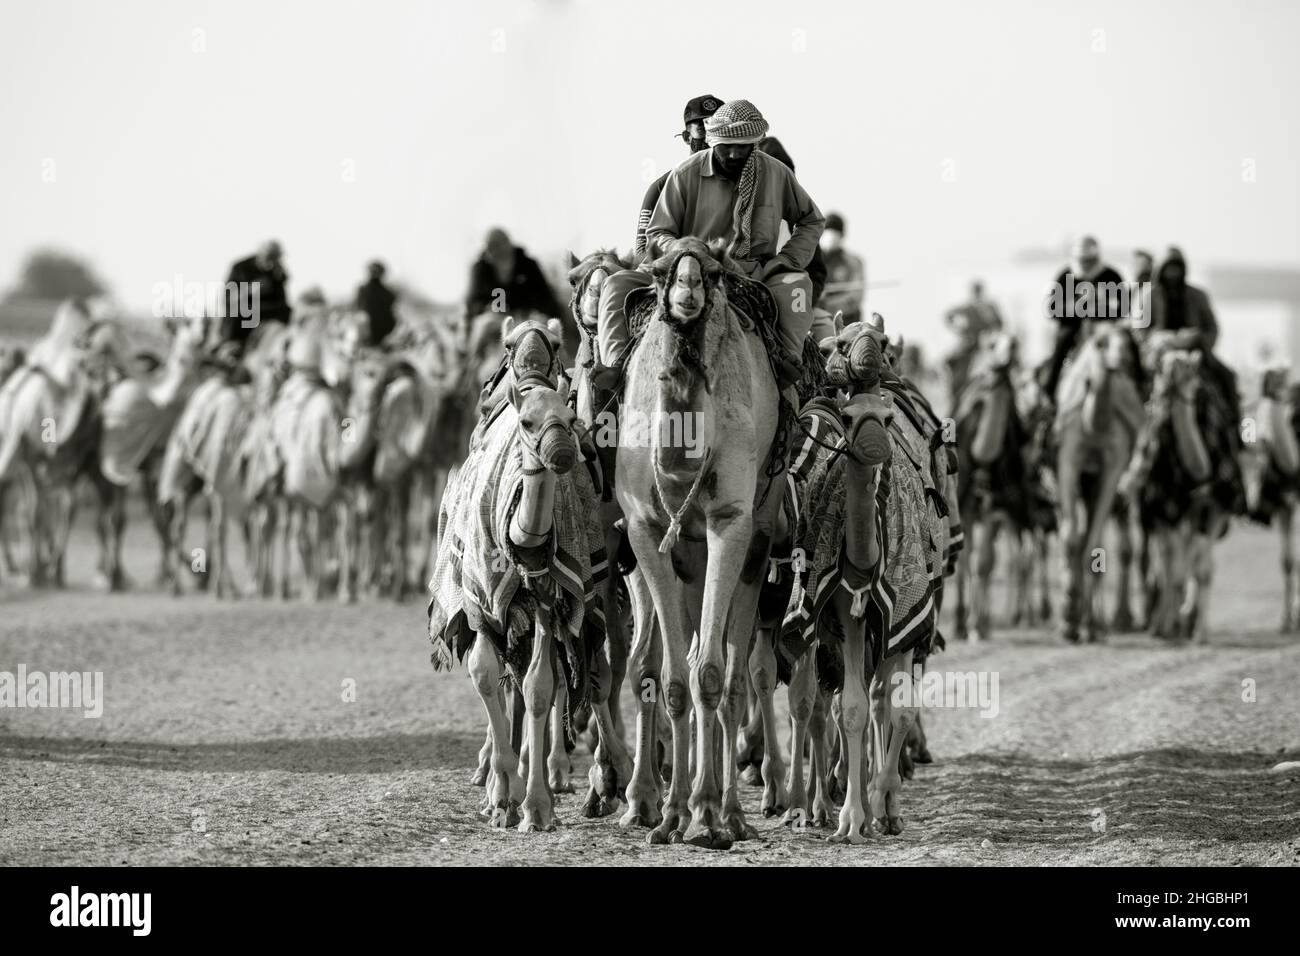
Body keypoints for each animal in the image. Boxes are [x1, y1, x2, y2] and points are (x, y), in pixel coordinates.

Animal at [1054, 323, 1145, 643]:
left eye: (1127, 342)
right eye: (1100, 342)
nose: (1121, 359)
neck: (1094, 425)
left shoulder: (1111, 470)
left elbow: (1092, 545)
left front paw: (1084, 622)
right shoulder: (1068, 462)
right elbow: (1070, 538)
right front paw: (1067, 615)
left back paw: (1099, 623)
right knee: (1075, 535)